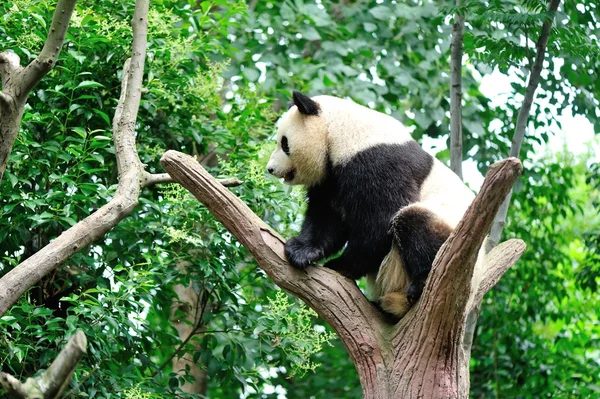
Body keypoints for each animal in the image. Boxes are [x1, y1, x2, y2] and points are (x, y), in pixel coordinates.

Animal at [268, 92, 482, 320]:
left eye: (284, 144)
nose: (270, 169)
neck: (341, 130)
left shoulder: (378, 163)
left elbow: (381, 222)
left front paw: (341, 265)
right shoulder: (330, 179)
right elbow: (326, 218)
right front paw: (302, 250)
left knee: (414, 221)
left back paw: (420, 283)